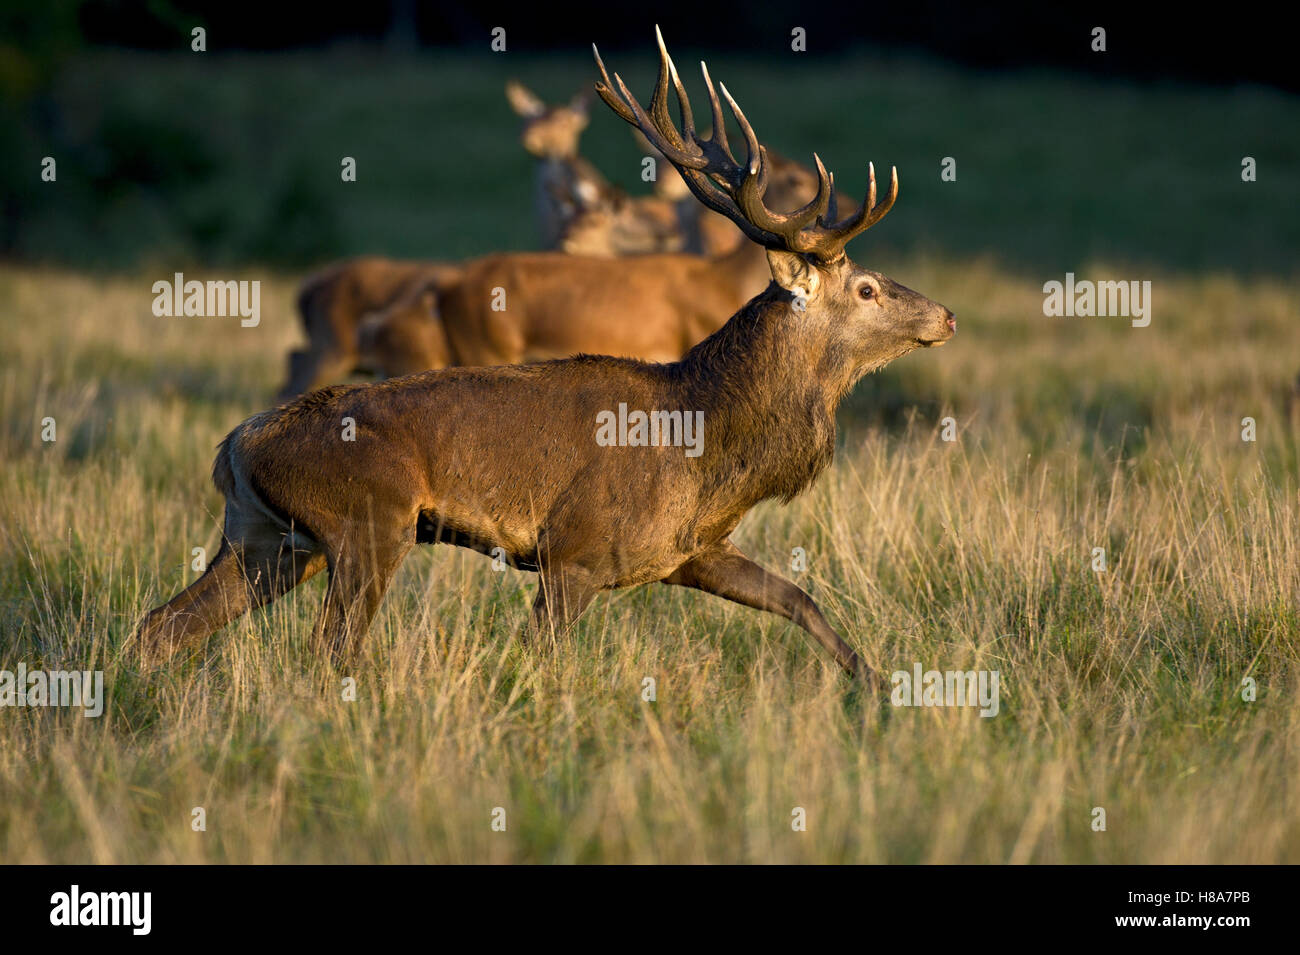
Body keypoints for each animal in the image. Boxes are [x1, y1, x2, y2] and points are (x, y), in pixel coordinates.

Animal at [136, 29, 956, 685]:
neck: (708, 449)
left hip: (267, 539)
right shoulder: (576, 552)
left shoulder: (689, 550)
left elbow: (799, 598)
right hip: (370, 518)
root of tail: (234, 446)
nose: (945, 315)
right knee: (330, 647)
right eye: (867, 287)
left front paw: (875, 685)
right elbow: (541, 655)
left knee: (163, 625)